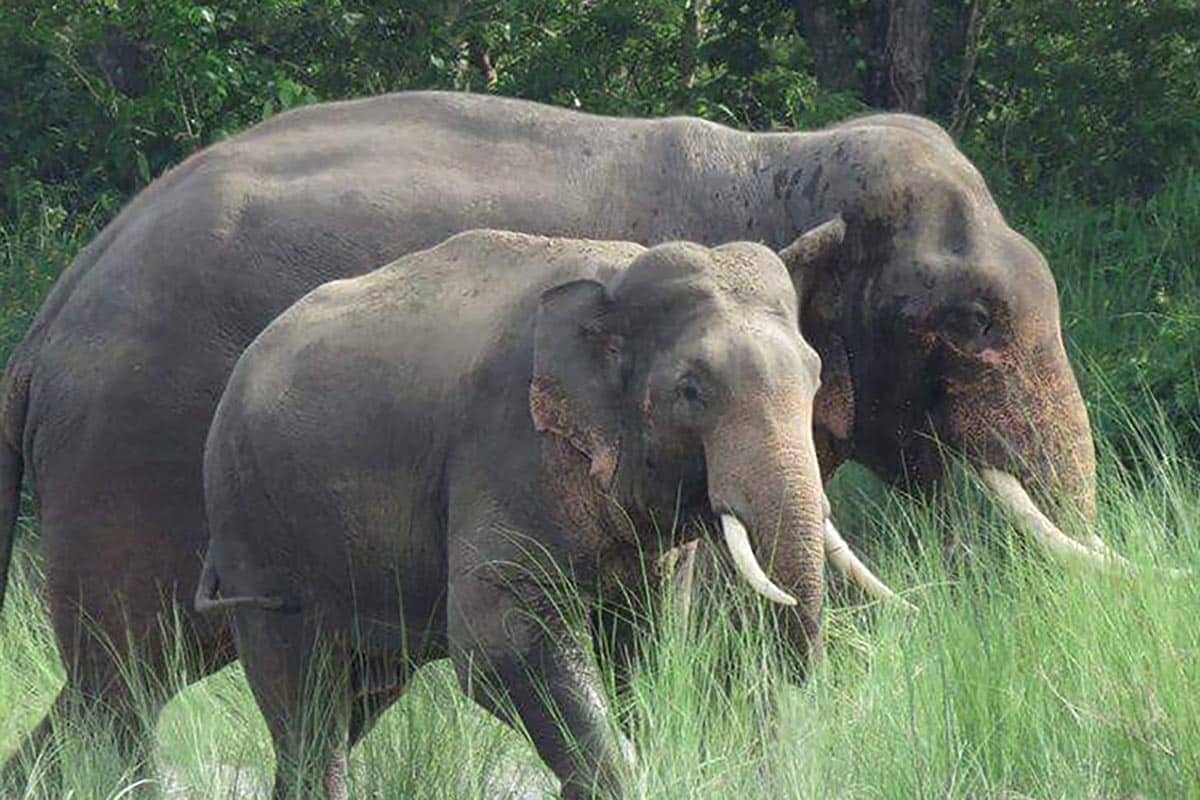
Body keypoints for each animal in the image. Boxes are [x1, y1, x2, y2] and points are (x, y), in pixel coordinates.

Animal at [197, 228, 839, 799]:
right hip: (254, 533)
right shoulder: (502, 448)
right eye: (692, 390)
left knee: (363, 694)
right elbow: (496, 638)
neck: (615, 278)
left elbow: (646, 639)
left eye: (816, 377)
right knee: (305, 699)